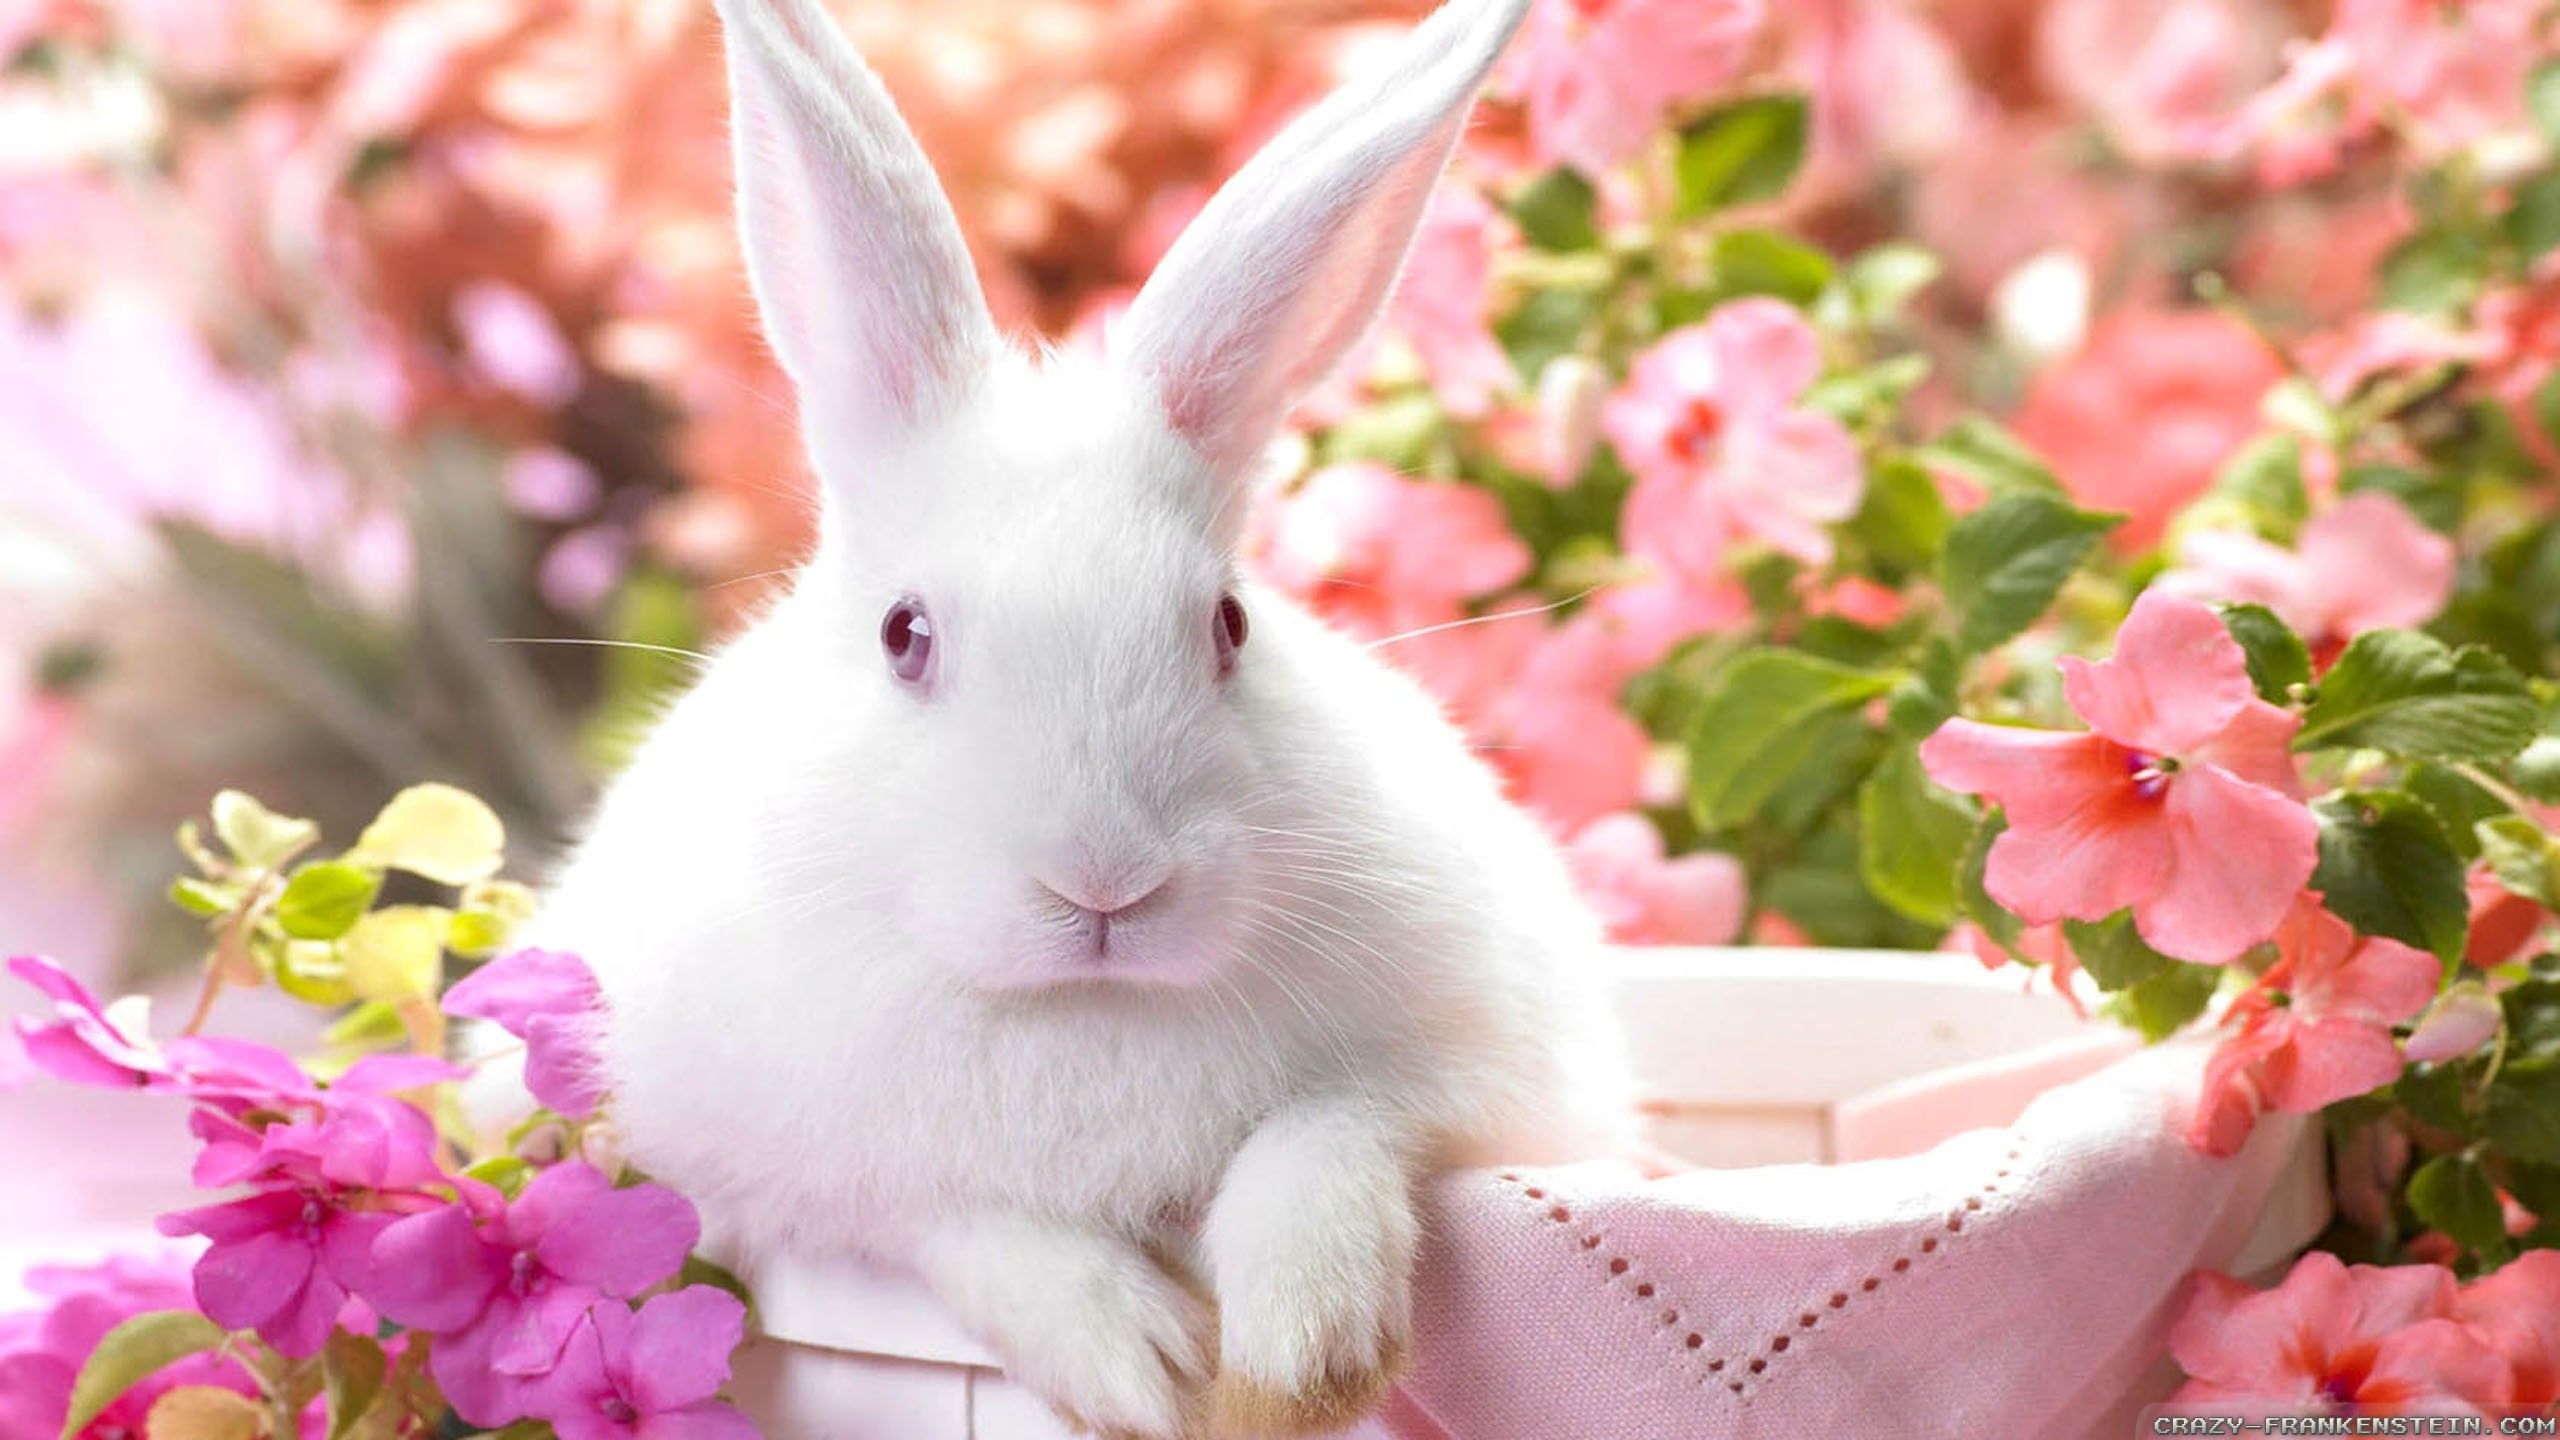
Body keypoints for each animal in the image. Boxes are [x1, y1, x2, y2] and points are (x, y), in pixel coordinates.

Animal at [524, 0, 1632, 1433]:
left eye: (1228, 625)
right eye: (905, 636)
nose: (1105, 883)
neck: (1083, 1009)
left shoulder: (1492, 1077)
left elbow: (1333, 1128)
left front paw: (1305, 1347)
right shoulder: (775, 1172)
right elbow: (960, 1220)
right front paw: (1144, 1366)